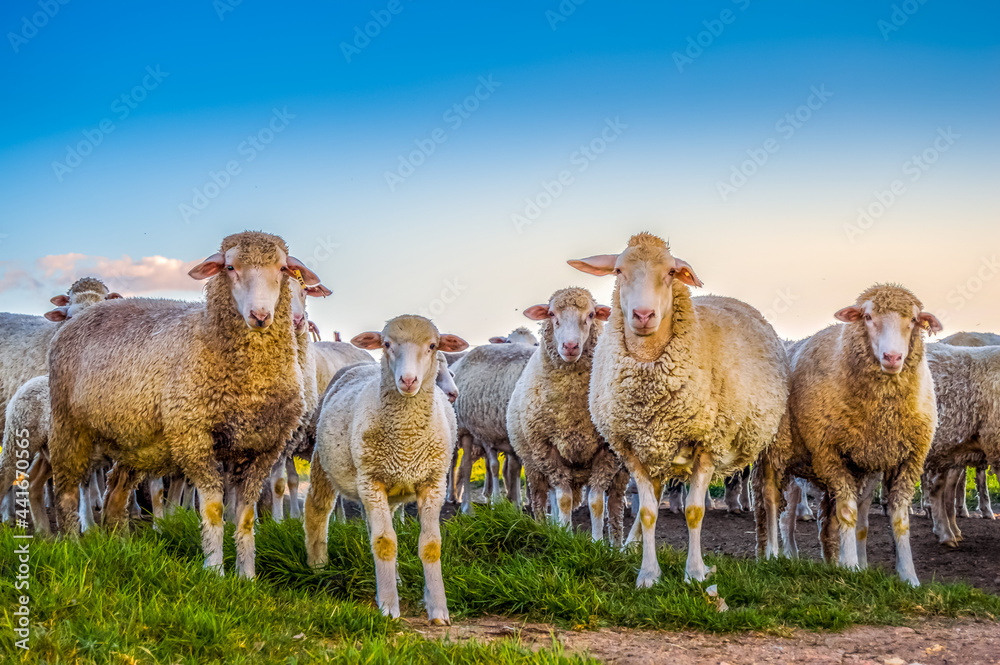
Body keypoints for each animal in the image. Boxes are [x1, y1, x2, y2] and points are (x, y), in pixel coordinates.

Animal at [48, 232, 323, 578]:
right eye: (230, 267)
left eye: (283, 268)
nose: (260, 316)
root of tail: (81, 317)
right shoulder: (194, 437)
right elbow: (215, 509)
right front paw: (215, 571)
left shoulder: (263, 447)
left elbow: (245, 516)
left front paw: (246, 577)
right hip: (68, 425)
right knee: (67, 491)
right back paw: (71, 543)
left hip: (134, 440)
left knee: (116, 492)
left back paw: (118, 546)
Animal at [303, 315, 467, 623]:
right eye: (387, 344)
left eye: (432, 346)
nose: (408, 380)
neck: (406, 439)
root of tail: (363, 364)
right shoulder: (372, 480)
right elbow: (385, 542)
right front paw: (389, 606)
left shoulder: (433, 482)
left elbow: (430, 545)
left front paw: (438, 608)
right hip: (325, 459)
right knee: (317, 508)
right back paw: (317, 565)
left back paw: (396, 578)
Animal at [506, 287, 629, 544]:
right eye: (552, 313)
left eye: (591, 314)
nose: (570, 346)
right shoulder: (548, 450)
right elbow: (563, 500)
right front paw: (563, 537)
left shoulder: (607, 452)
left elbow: (596, 501)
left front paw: (597, 543)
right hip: (533, 464)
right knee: (541, 498)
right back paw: (543, 528)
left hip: (621, 470)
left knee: (615, 506)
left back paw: (616, 545)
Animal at [569, 232, 791, 585]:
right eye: (618, 270)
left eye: (671, 272)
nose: (643, 315)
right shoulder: (630, 448)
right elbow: (647, 511)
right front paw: (648, 574)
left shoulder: (708, 444)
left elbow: (695, 511)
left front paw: (696, 573)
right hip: (658, 448)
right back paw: (629, 547)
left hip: (772, 437)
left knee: (769, 495)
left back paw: (771, 554)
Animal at [768, 284, 940, 586]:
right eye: (868, 317)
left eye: (914, 320)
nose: (892, 357)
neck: (882, 415)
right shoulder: (830, 453)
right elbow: (846, 511)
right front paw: (849, 566)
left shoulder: (906, 460)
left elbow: (895, 520)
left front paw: (907, 576)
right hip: (788, 461)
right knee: (785, 515)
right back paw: (785, 556)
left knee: (832, 520)